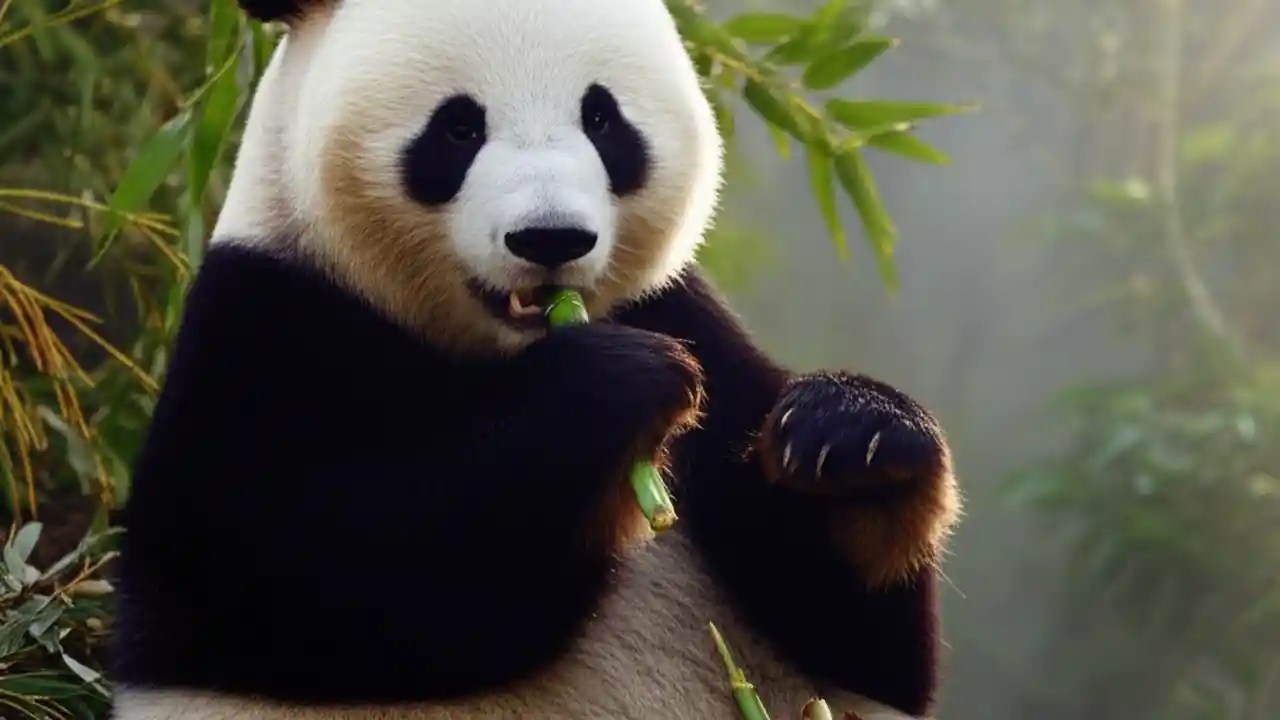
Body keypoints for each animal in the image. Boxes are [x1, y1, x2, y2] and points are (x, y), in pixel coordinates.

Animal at [110, 0, 961, 718]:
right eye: (457, 129)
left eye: (602, 118)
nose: (550, 238)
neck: (500, 352)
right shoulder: (262, 328)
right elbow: (317, 579)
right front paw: (614, 388)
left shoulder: (681, 310)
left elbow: (855, 638)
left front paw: (851, 437)